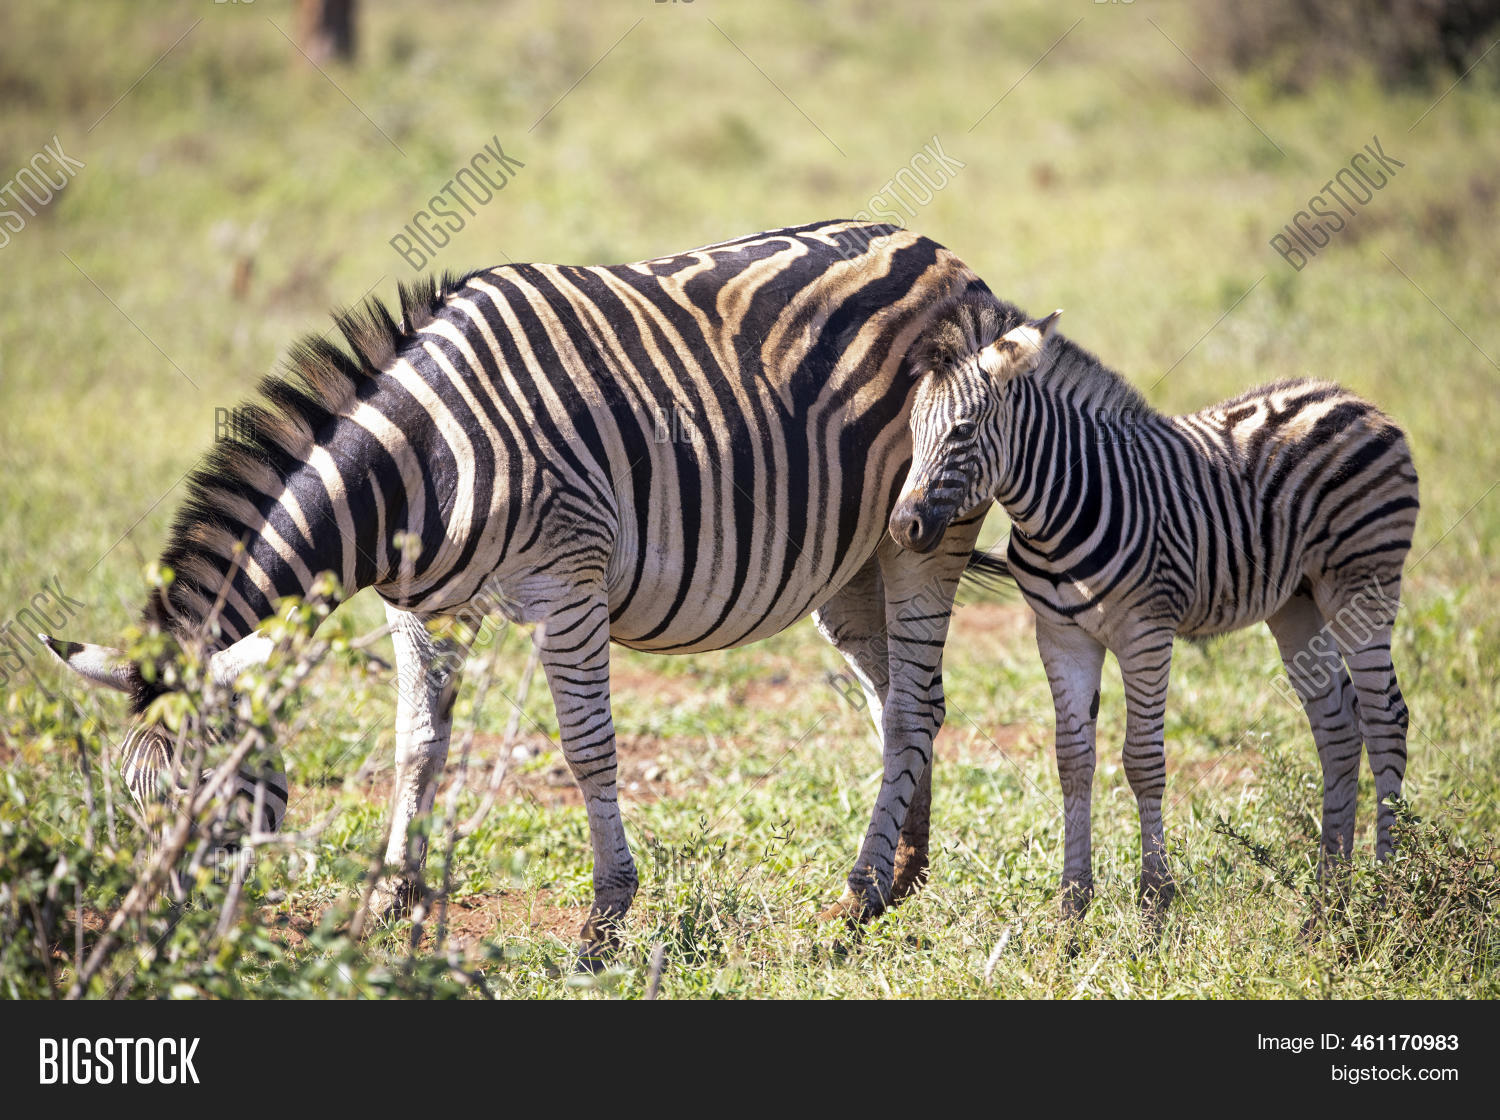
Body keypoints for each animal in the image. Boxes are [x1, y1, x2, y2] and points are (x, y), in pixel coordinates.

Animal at [43, 219, 1007, 956]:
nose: (158, 942)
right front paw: (388, 903)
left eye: (207, 798)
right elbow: (417, 747)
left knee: (912, 704)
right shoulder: (421, 610)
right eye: (134, 804)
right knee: (900, 700)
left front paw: (605, 919)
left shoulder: (567, 584)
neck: (416, 465)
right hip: (850, 559)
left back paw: (860, 895)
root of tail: (937, 249)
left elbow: (587, 749)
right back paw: (904, 871)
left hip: (926, 529)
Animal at [888, 291, 1418, 924]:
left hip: (1362, 584)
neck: (1056, 511)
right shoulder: (1060, 636)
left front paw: (1154, 900)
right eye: (912, 431)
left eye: (963, 430)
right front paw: (1072, 903)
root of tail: (1354, 400)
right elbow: (1072, 761)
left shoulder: (1146, 631)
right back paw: (1329, 898)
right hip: (1298, 602)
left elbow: (1142, 760)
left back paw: (1386, 890)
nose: (903, 526)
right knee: (1337, 725)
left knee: (1386, 718)